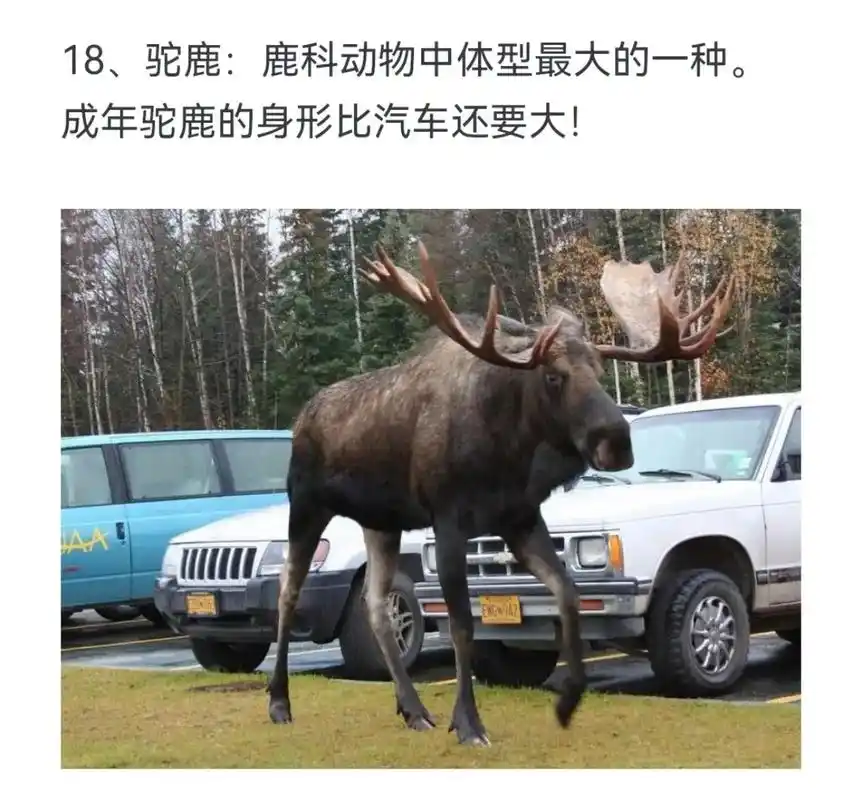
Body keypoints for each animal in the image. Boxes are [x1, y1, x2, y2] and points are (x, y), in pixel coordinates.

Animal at [267, 240, 734, 746]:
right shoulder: (448, 521)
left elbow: (568, 595)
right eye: (553, 376)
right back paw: (279, 702)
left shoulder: (520, 519)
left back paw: (413, 709)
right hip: (306, 505)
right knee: (288, 590)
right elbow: (461, 627)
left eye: (599, 367)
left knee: (375, 606)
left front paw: (568, 700)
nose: (617, 441)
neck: (508, 453)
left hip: (382, 523)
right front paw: (469, 722)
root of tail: (300, 418)